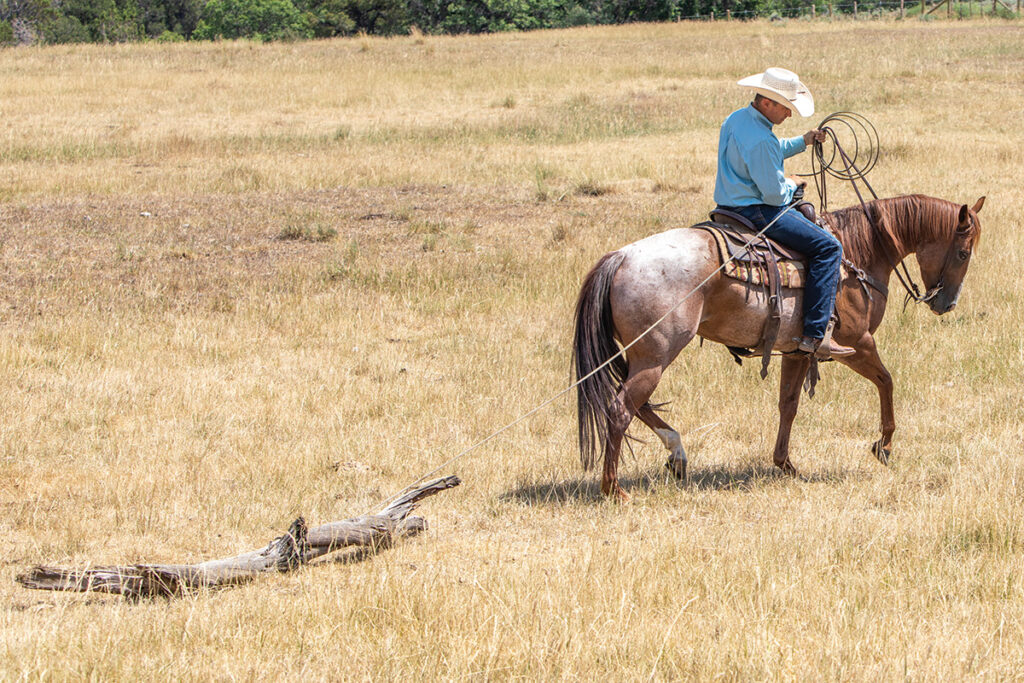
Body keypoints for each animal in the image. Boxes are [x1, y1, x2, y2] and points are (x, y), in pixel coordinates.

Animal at [572, 194, 985, 501]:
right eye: (963, 253)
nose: (946, 304)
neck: (859, 252)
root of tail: (621, 257)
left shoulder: (798, 350)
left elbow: (788, 404)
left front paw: (785, 464)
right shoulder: (858, 343)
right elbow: (886, 382)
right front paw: (883, 445)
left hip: (641, 357)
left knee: (635, 405)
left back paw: (676, 455)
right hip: (655, 356)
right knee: (620, 408)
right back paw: (614, 490)